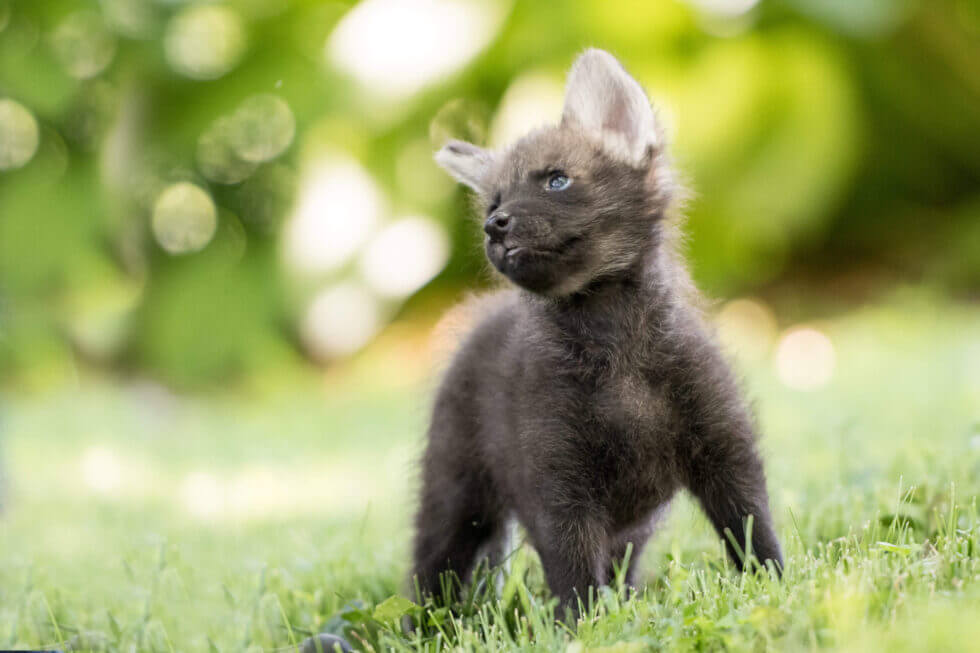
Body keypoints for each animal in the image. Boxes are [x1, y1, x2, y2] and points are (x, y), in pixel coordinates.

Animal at [411, 48, 782, 615]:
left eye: (556, 181)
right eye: (495, 200)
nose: (493, 225)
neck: (615, 343)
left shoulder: (725, 447)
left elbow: (753, 532)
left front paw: (780, 587)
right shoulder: (558, 482)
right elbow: (574, 576)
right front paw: (586, 626)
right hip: (453, 496)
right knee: (429, 570)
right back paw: (421, 624)